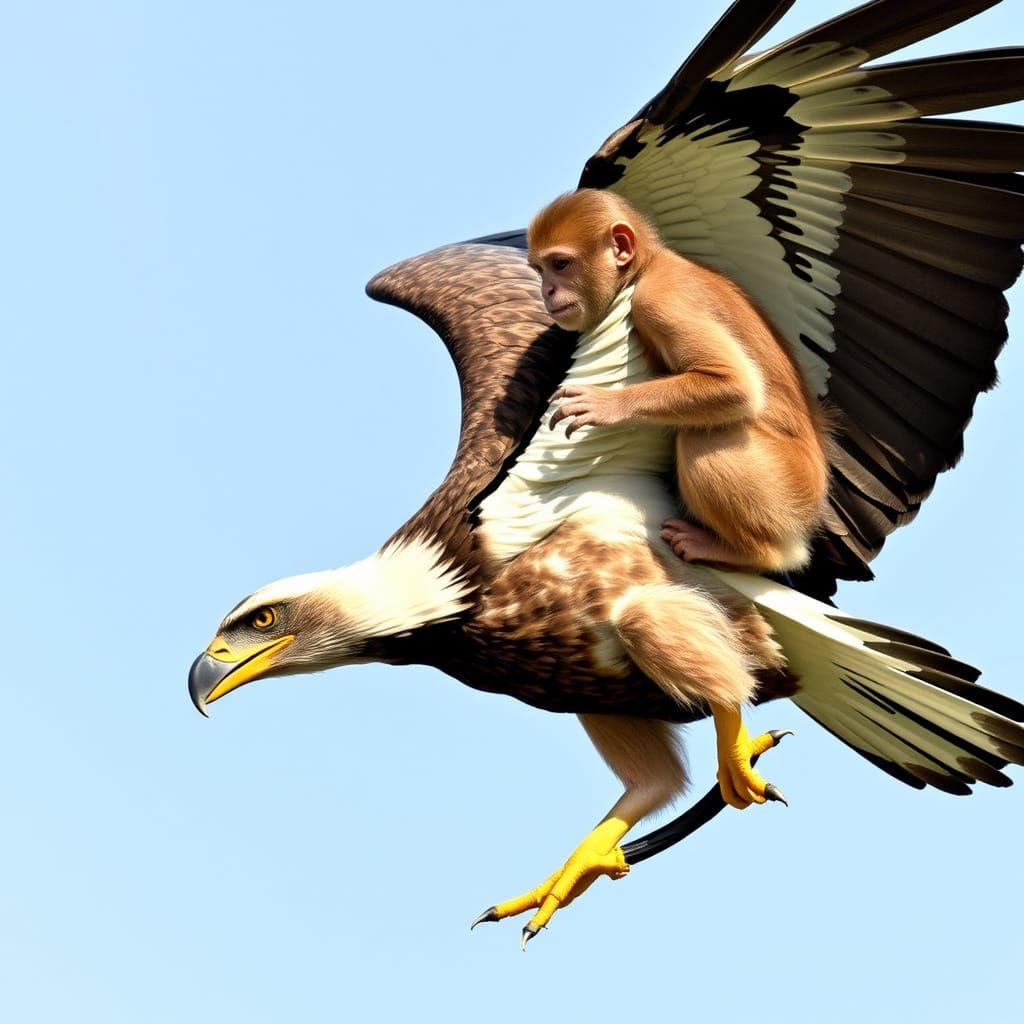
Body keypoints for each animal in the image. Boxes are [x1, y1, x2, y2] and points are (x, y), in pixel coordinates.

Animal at [527, 189, 830, 574]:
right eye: (541, 270)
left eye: (561, 264)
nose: (547, 290)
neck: (646, 267)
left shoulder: (657, 301)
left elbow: (737, 386)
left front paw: (606, 405)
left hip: (789, 487)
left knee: (703, 437)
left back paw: (752, 554)